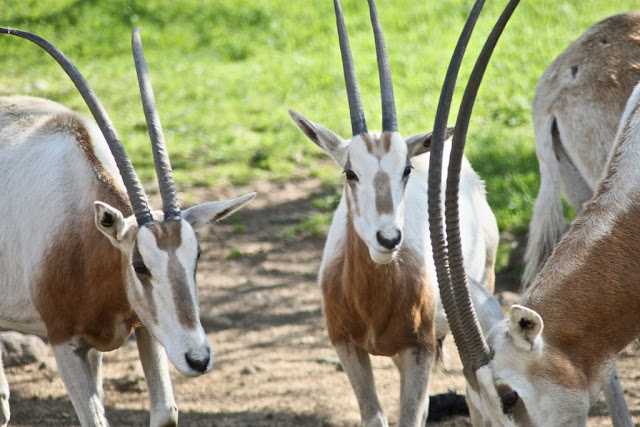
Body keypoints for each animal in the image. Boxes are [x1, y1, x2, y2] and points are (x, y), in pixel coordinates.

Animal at [0, 28, 255, 426]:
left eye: (197, 256)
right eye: (139, 264)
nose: (197, 358)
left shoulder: (145, 328)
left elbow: (165, 412)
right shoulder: (62, 340)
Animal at [288, 0, 499, 425]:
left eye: (405, 169)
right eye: (350, 172)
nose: (388, 239)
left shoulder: (419, 350)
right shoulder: (346, 346)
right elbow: (375, 416)